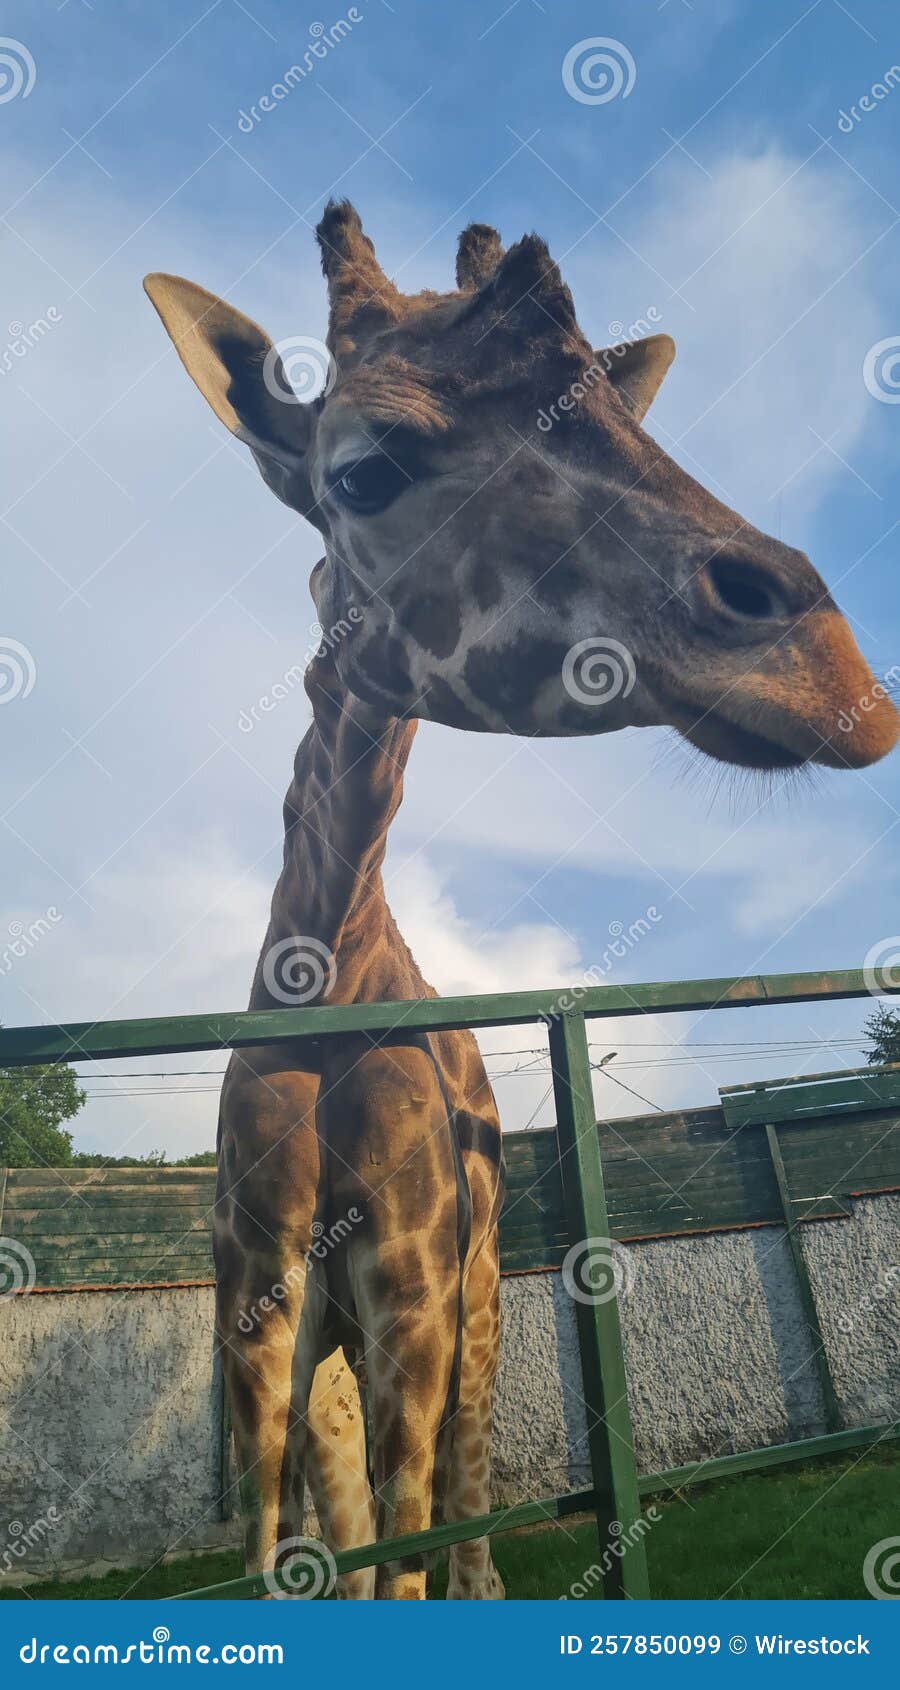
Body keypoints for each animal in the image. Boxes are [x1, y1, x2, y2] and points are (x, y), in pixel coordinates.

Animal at [145, 203, 898, 1600]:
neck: (331, 954)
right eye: (362, 471)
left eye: (613, 399)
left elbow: (411, 1548)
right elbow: (301, 1553)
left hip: (481, 1284)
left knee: (464, 1497)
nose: (835, 678)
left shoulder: (410, 1277)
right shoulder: (257, 1297)